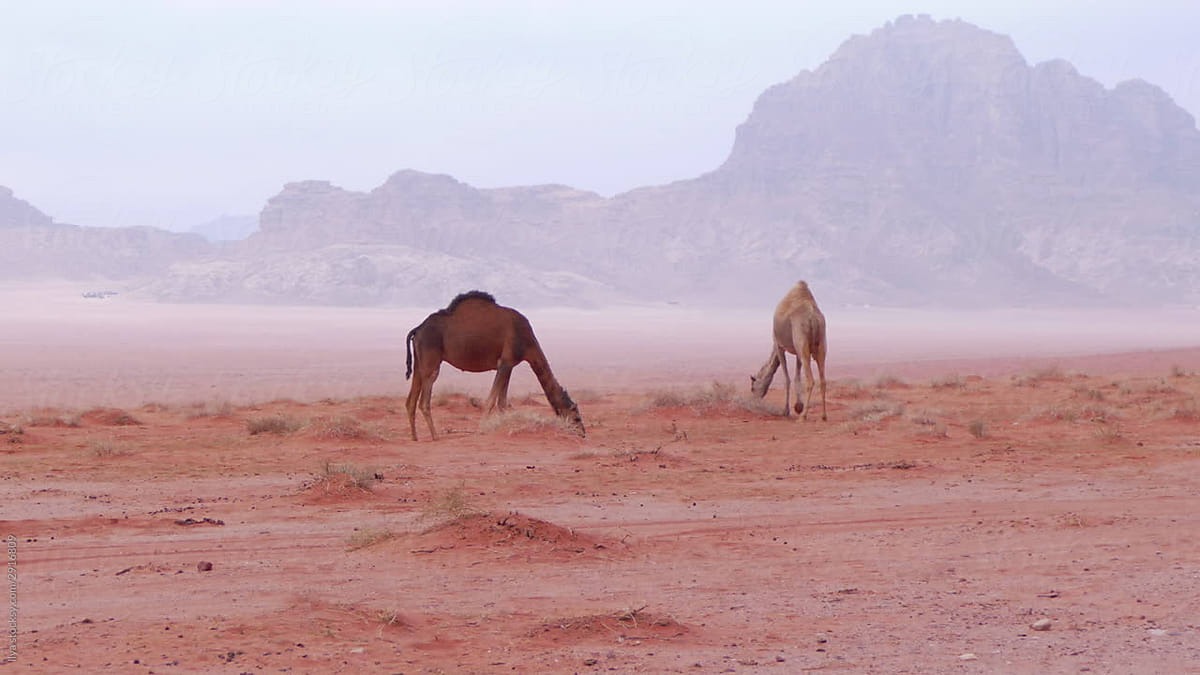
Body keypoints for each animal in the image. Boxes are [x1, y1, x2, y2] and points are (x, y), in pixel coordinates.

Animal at [404, 290, 585, 441]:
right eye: (577, 417)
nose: (583, 433)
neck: (528, 343)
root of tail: (417, 329)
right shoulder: (505, 362)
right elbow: (492, 400)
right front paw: (481, 429)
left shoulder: (509, 365)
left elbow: (502, 402)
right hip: (431, 362)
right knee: (424, 401)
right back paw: (435, 436)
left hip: (419, 364)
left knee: (410, 401)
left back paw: (414, 437)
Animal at [750, 281, 828, 421]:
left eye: (752, 388)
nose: (754, 401)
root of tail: (812, 317)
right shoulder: (797, 352)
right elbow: (797, 377)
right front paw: (798, 406)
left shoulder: (778, 346)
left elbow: (787, 379)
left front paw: (786, 410)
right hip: (821, 343)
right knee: (823, 380)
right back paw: (824, 416)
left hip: (801, 341)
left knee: (811, 380)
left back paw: (803, 416)